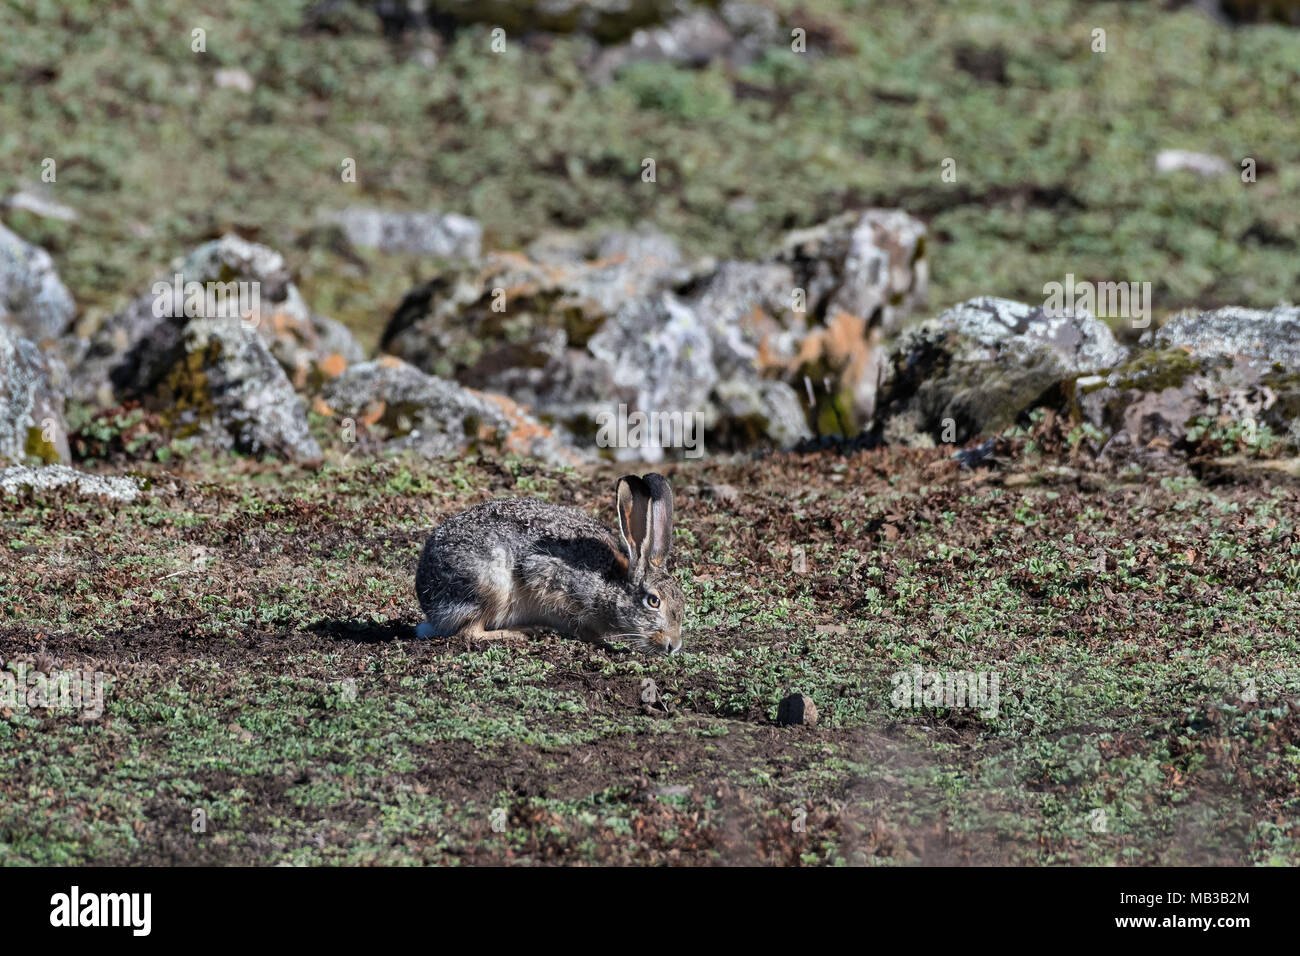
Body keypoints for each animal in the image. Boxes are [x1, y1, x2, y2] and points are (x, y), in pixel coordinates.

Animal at [415, 473, 684, 655]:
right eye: (653, 601)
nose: (674, 645)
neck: (612, 582)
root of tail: (431, 606)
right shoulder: (552, 580)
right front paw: (601, 641)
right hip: (490, 586)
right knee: (470, 632)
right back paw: (524, 631)